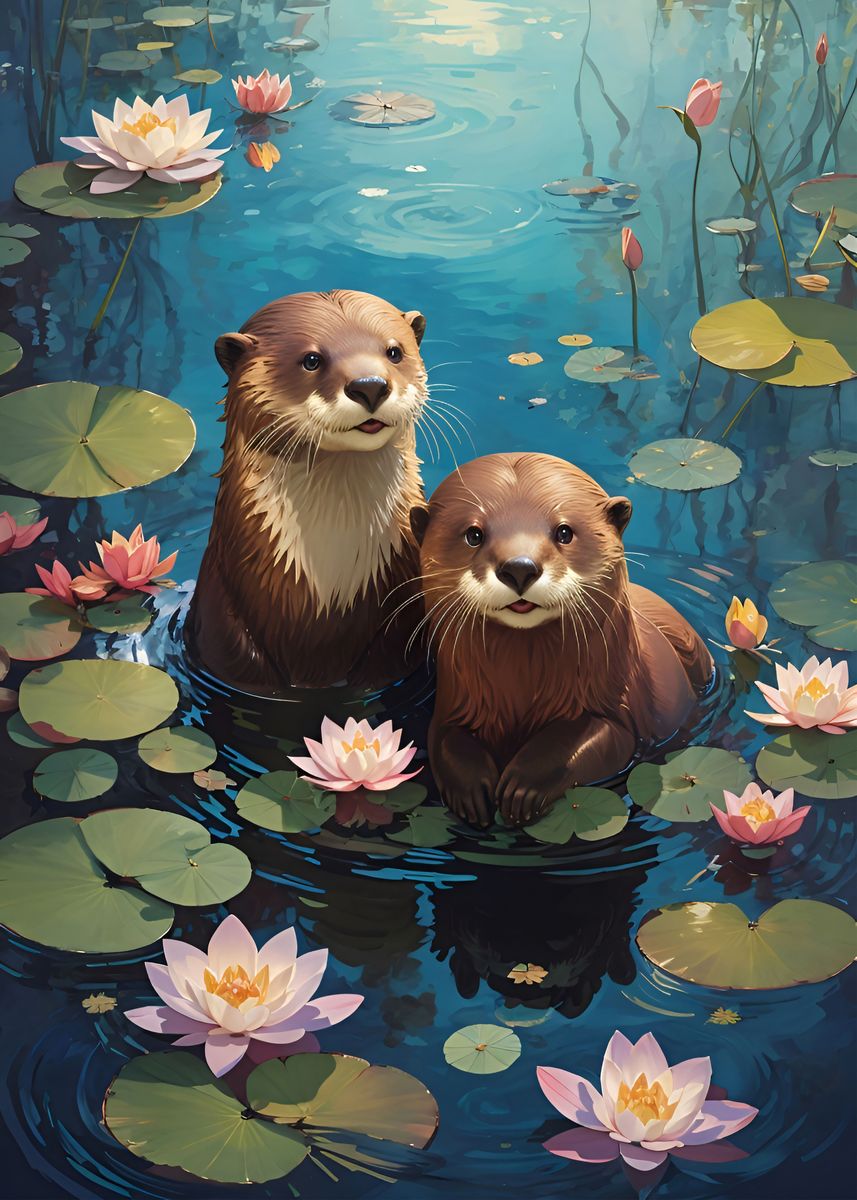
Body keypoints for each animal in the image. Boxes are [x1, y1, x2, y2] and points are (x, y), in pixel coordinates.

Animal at [410, 453, 713, 827]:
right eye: (474, 534)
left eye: (564, 532)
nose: (519, 567)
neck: (519, 694)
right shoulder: (454, 703)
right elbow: (442, 739)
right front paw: (470, 790)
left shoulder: (622, 706)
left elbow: (595, 739)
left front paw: (523, 787)